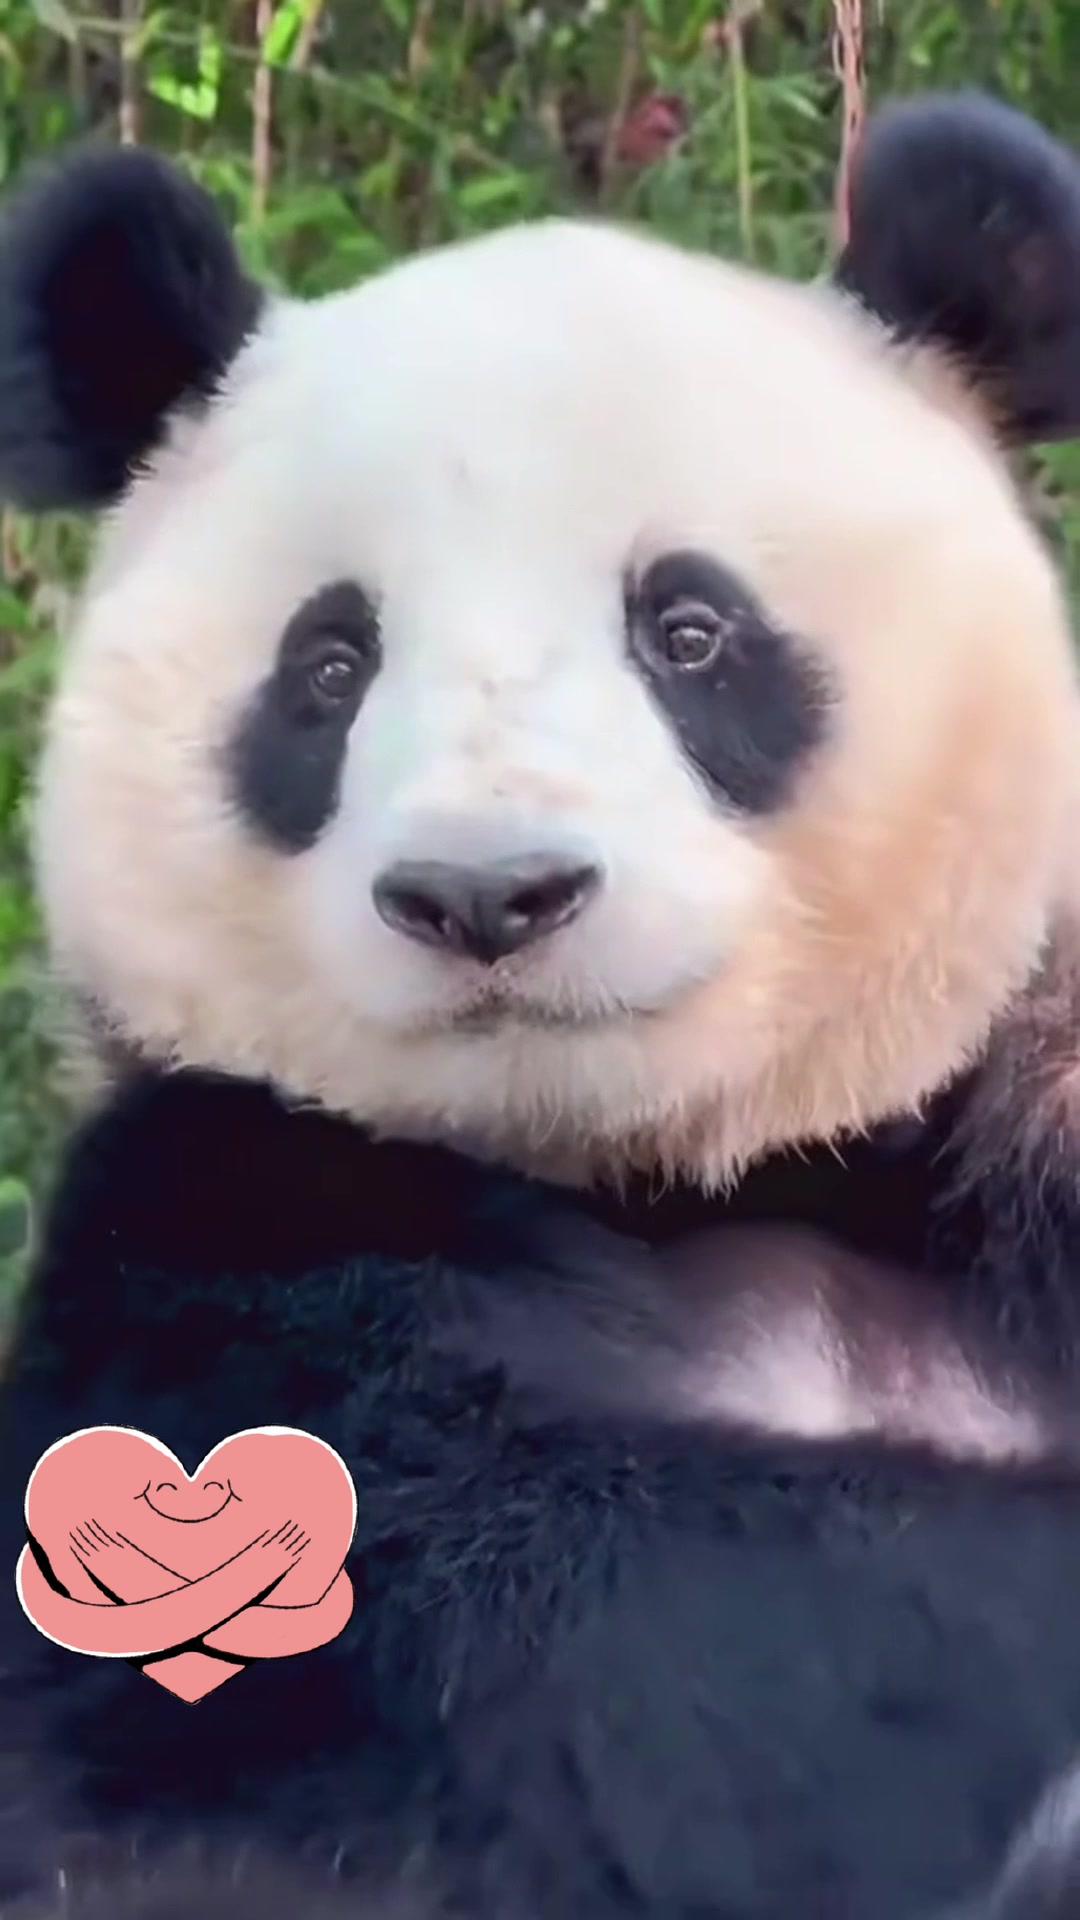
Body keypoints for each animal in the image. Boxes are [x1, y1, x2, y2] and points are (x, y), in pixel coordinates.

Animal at [4, 84, 1080, 1920]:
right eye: (329, 667)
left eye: (691, 629)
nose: (487, 896)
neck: (674, 1177)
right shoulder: (221, 1235)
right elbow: (591, 1624)